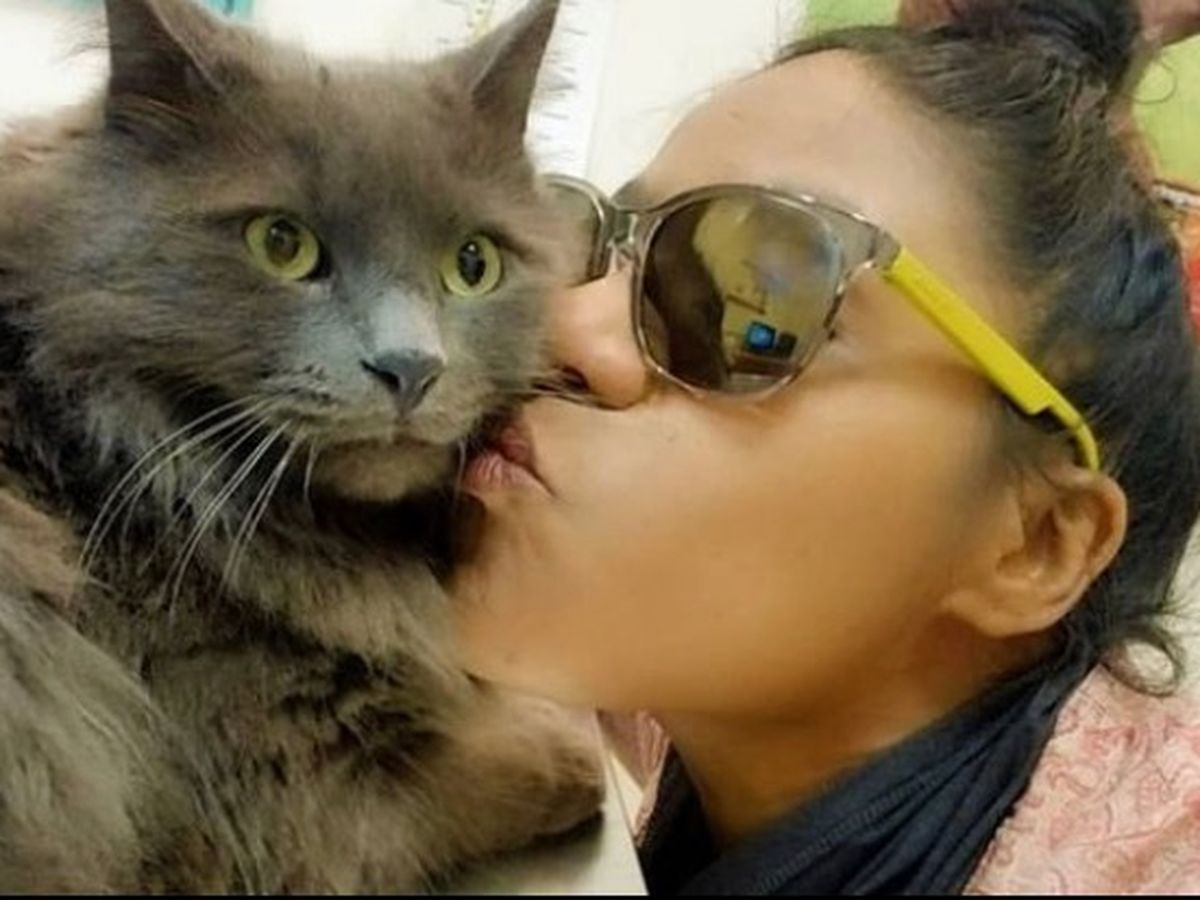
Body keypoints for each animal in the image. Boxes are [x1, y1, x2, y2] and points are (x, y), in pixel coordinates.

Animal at [0, 0, 602, 891]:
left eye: (473, 264)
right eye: (281, 244)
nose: (412, 366)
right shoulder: (290, 790)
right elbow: (535, 766)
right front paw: (561, 737)